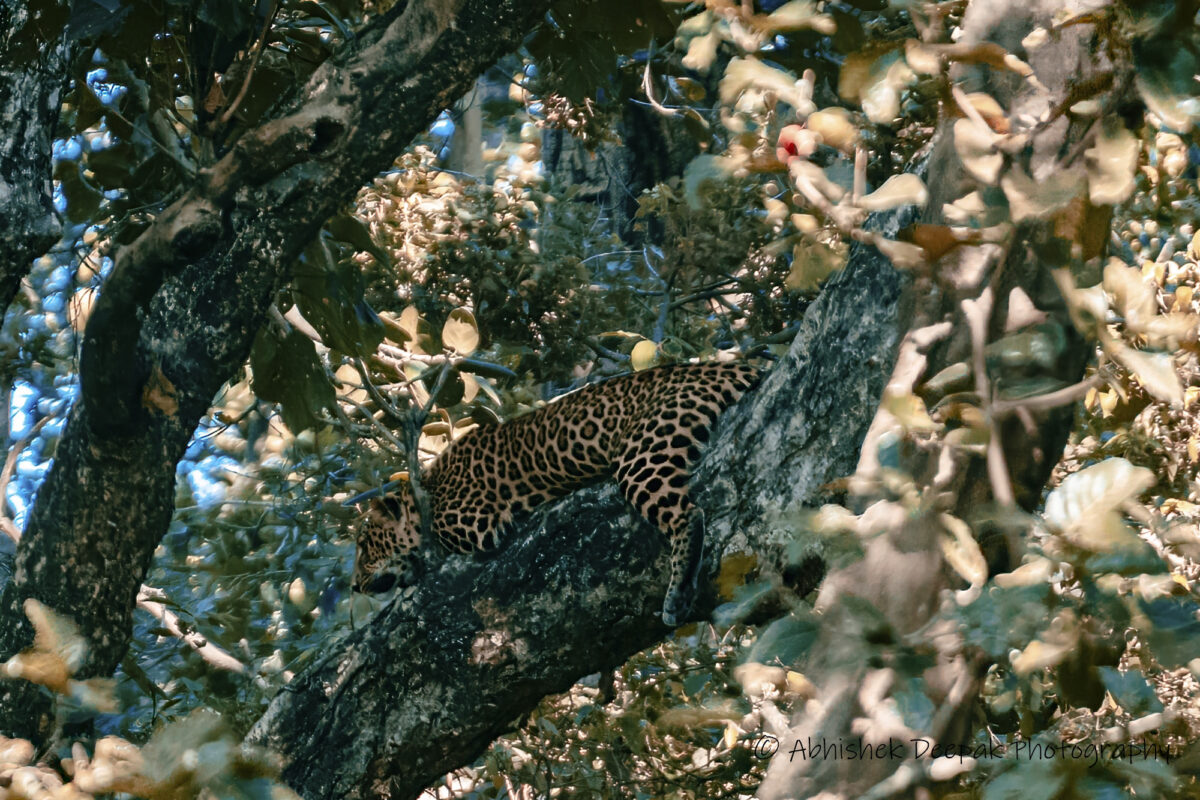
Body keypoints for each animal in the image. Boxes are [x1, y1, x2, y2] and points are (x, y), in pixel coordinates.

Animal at [352, 361, 762, 625]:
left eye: (364, 546)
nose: (355, 586)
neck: (429, 490)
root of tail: (737, 367)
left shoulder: (477, 527)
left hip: (643, 450)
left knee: (687, 514)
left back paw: (678, 592)